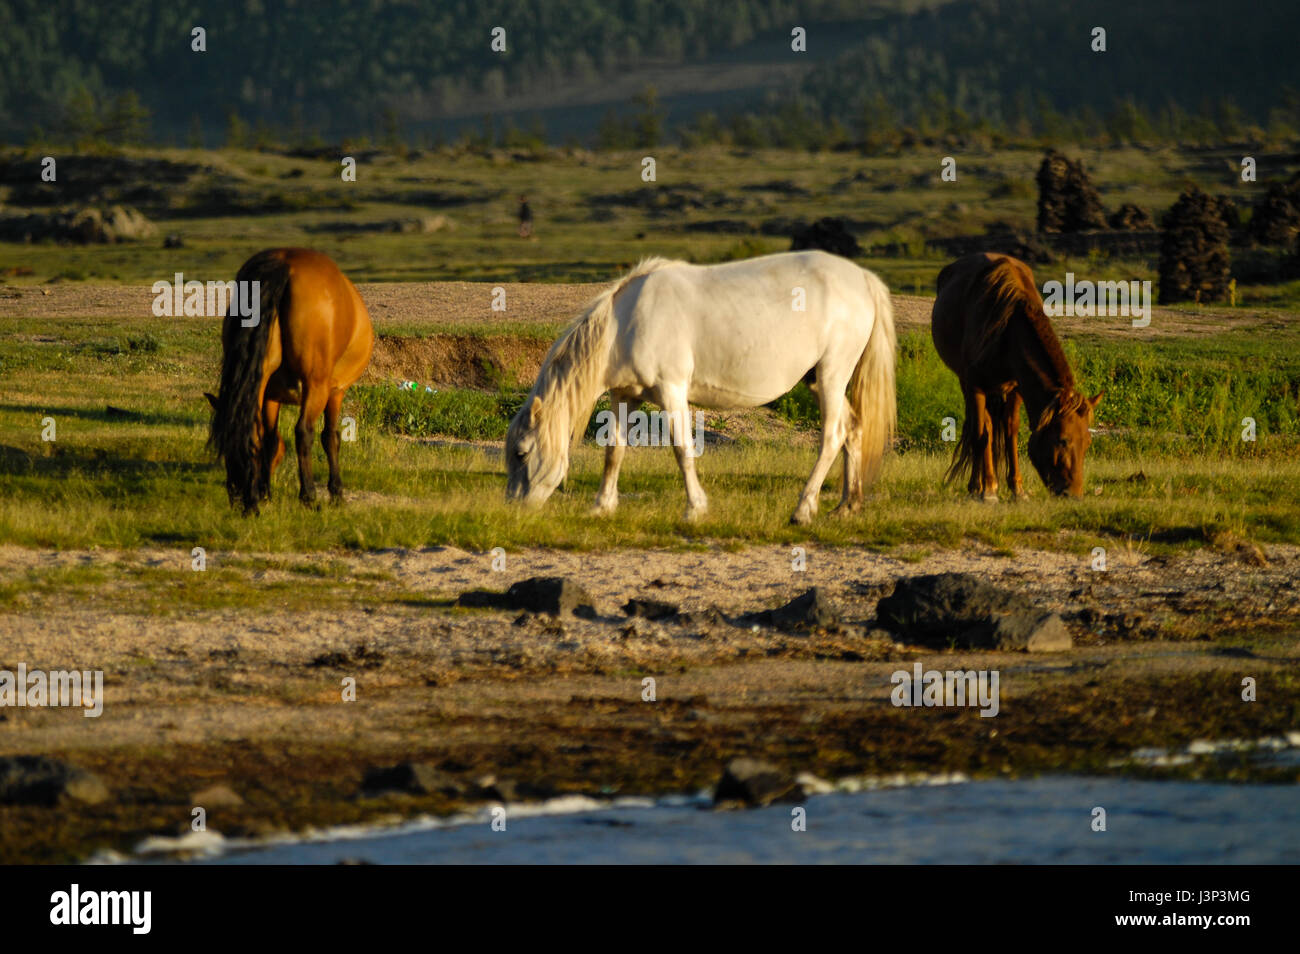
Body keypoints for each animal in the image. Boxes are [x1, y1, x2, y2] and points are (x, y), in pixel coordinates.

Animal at [205, 248, 374, 514]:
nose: (235, 492)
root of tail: (283, 261)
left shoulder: (271, 395)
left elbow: (270, 439)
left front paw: (264, 492)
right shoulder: (335, 392)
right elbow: (330, 437)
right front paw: (336, 492)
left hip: (261, 381)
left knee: (253, 432)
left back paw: (253, 503)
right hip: (316, 385)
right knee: (304, 431)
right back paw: (308, 496)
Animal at [505, 250, 896, 525]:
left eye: (522, 453)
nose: (513, 509)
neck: (626, 321)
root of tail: (862, 279)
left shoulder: (672, 390)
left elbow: (682, 450)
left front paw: (695, 509)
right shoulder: (625, 397)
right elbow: (614, 451)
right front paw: (602, 506)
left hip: (832, 376)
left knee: (832, 435)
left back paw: (803, 509)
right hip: (818, 380)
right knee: (853, 429)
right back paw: (847, 506)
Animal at [930, 252, 1102, 500]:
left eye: (1087, 442)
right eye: (1062, 440)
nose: (1074, 493)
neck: (1006, 329)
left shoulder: (1017, 387)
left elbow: (1010, 432)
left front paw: (1017, 489)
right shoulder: (975, 386)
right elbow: (981, 435)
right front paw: (988, 490)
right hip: (968, 383)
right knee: (979, 429)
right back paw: (978, 485)